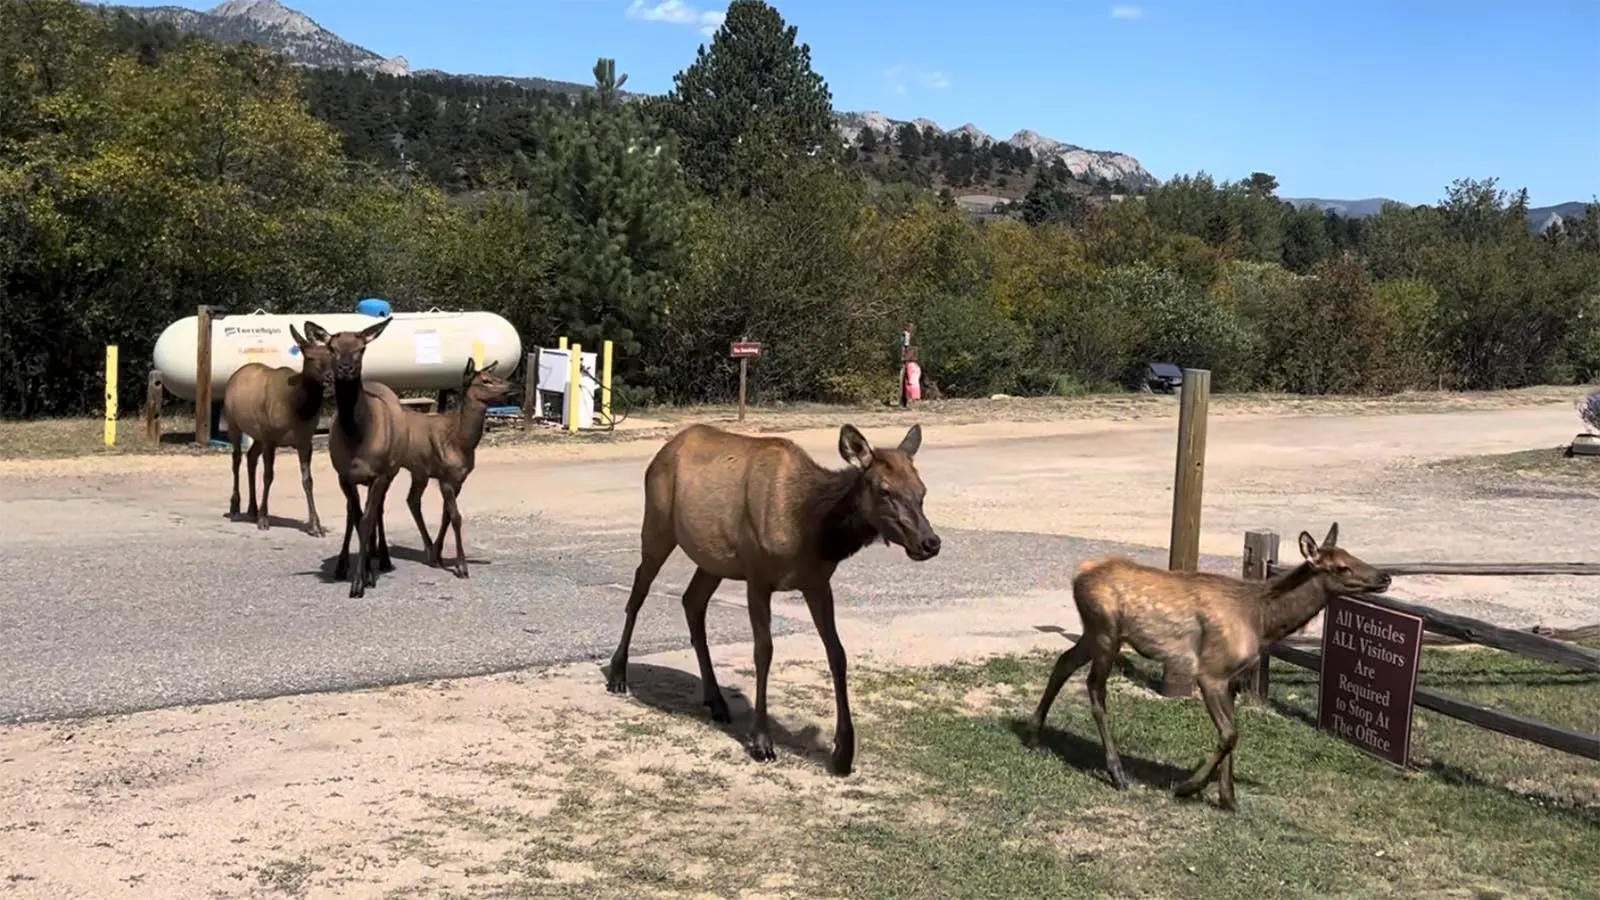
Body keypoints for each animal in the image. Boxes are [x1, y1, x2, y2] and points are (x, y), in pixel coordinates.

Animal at [221, 325, 335, 536]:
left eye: (332, 355)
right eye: (310, 357)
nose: (330, 378)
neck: (298, 408)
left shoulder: (304, 441)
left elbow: (308, 480)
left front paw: (315, 525)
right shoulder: (270, 438)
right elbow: (268, 476)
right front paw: (264, 519)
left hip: (258, 434)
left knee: (251, 457)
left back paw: (252, 508)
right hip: (235, 423)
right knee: (236, 459)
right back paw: (235, 507)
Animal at [305, 317, 410, 598]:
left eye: (361, 348)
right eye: (331, 347)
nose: (346, 368)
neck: (358, 438)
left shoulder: (380, 474)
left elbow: (366, 520)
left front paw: (361, 582)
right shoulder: (344, 475)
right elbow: (355, 517)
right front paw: (357, 573)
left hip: (391, 471)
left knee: (378, 512)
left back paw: (382, 558)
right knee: (352, 513)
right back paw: (344, 564)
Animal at [398, 357, 516, 578]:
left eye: (496, 376)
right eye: (485, 380)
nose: (513, 386)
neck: (461, 442)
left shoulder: (459, 479)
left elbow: (446, 515)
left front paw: (437, 555)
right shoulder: (444, 477)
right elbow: (456, 517)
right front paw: (461, 566)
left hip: (419, 472)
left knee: (412, 500)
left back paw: (428, 550)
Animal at [605, 422, 942, 777]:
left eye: (921, 490)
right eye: (884, 490)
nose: (930, 542)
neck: (808, 527)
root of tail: (663, 451)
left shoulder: (817, 582)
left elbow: (837, 653)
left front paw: (843, 751)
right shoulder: (757, 577)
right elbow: (763, 652)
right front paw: (762, 742)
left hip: (712, 560)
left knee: (692, 601)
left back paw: (716, 700)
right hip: (657, 525)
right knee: (638, 592)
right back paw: (618, 675)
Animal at [1025, 522, 1391, 811]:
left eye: (1353, 555)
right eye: (1341, 567)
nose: (1385, 576)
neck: (1260, 622)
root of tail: (1078, 577)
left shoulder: (1231, 678)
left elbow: (1232, 733)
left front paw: (1229, 799)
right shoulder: (1210, 672)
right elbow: (1230, 734)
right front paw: (1187, 787)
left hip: (1093, 631)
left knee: (1064, 662)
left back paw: (1034, 736)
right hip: (1106, 631)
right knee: (1095, 689)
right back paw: (1117, 773)